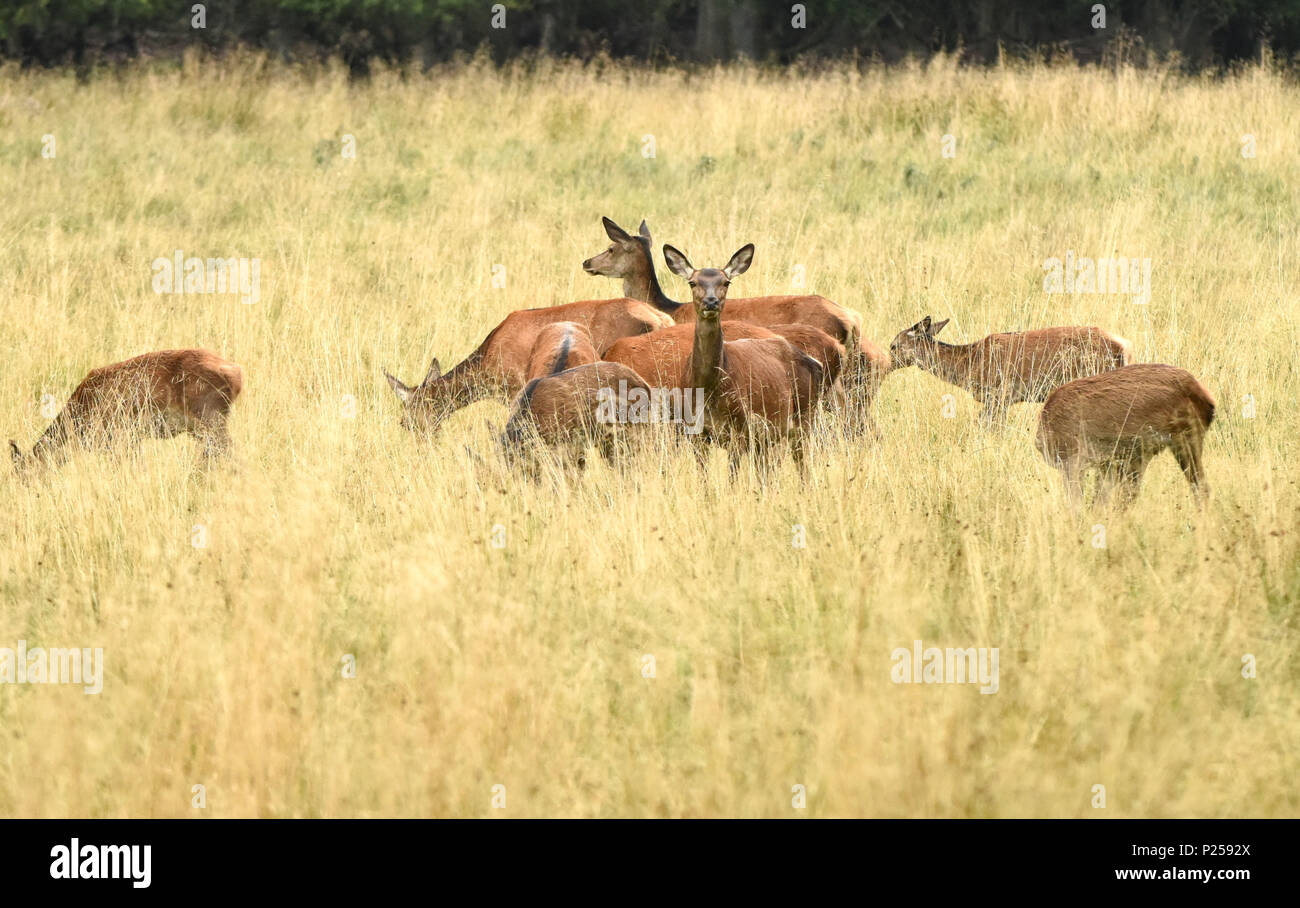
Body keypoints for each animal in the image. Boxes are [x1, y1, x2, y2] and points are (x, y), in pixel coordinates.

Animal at [659, 242, 825, 466]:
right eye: (692, 282)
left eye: (726, 282)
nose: (711, 302)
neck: (708, 390)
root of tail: (815, 363)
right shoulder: (695, 432)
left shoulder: (739, 429)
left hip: (804, 417)